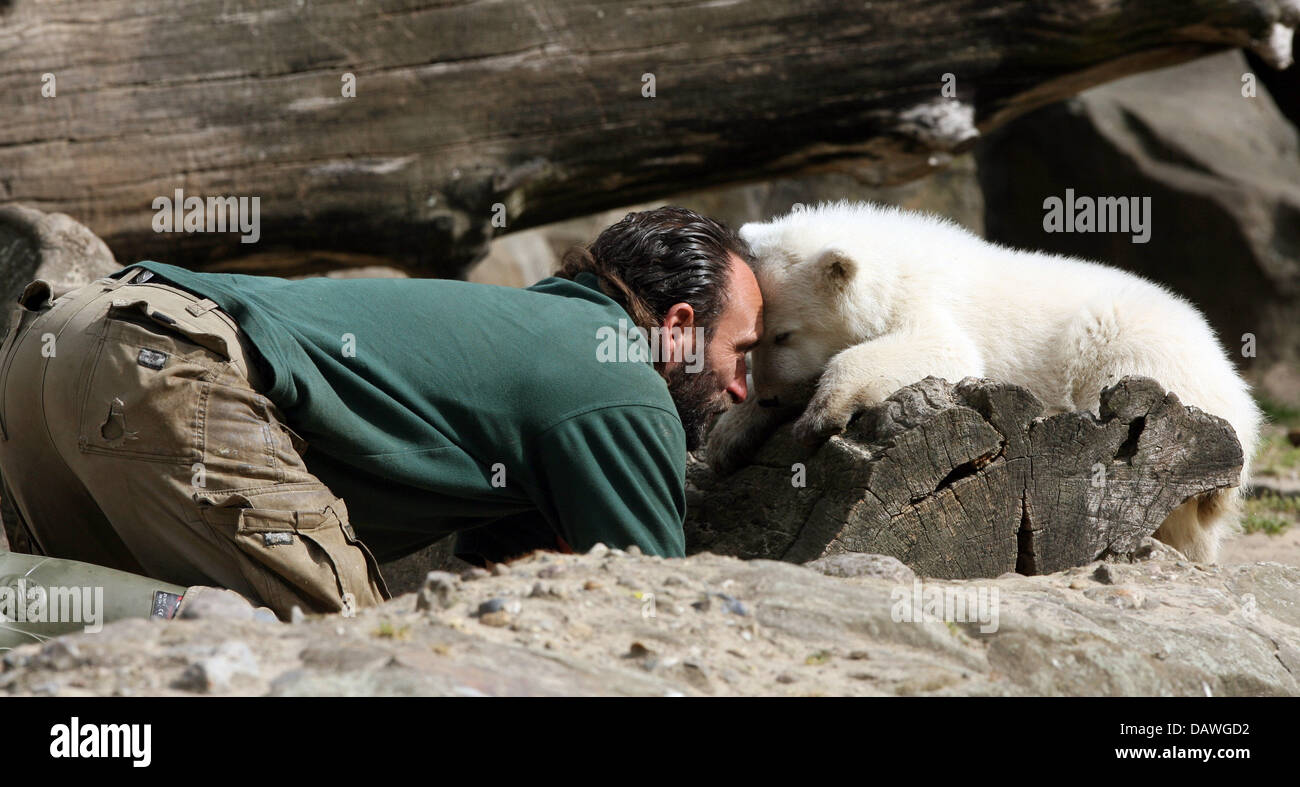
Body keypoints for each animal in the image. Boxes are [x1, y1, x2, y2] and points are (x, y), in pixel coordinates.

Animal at [706, 201, 1261, 564]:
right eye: (753, 338)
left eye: (783, 333)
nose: (770, 395)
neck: (897, 259)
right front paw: (730, 436)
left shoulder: (931, 302)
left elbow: (941, 349)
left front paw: (823, 411)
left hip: (1138, 353)